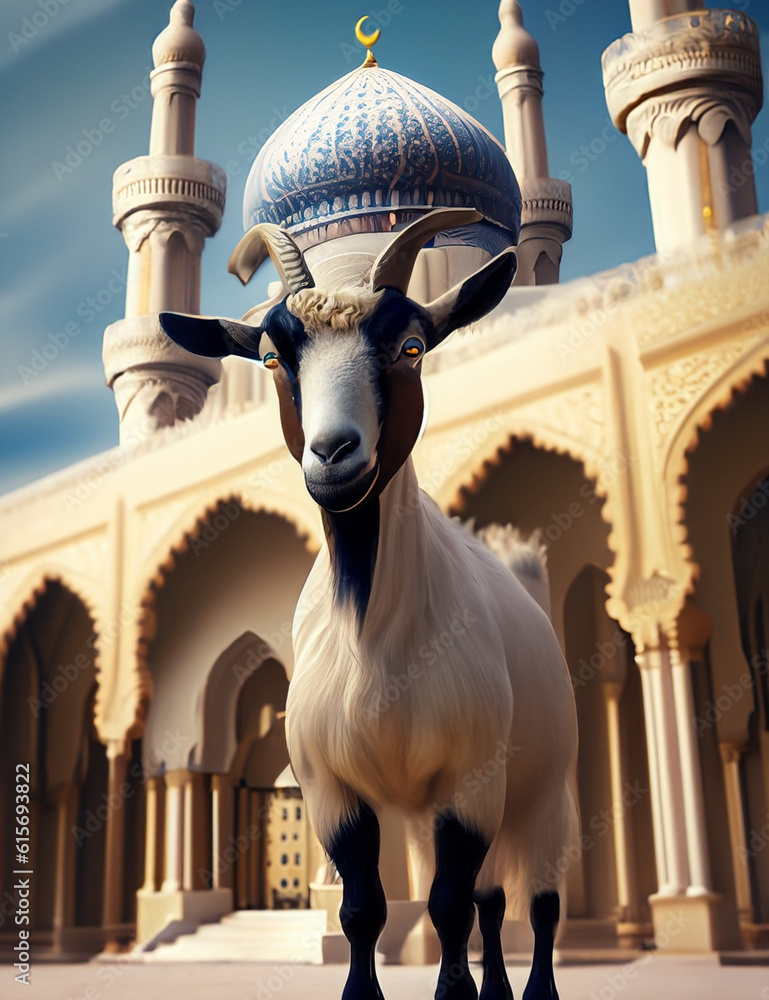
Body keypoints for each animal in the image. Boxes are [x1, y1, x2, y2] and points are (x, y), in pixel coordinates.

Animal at [160, 207, 578, 1000]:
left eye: (411, 347)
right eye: (271, 358)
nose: (333, 454)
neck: (371, 635)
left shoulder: (469, 781)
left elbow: (447, 906)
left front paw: (454, 994)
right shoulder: (331, 790)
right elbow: (363, 910)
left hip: (539, 789)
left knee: (536, 899)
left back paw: (534, 988)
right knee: (491, 898)